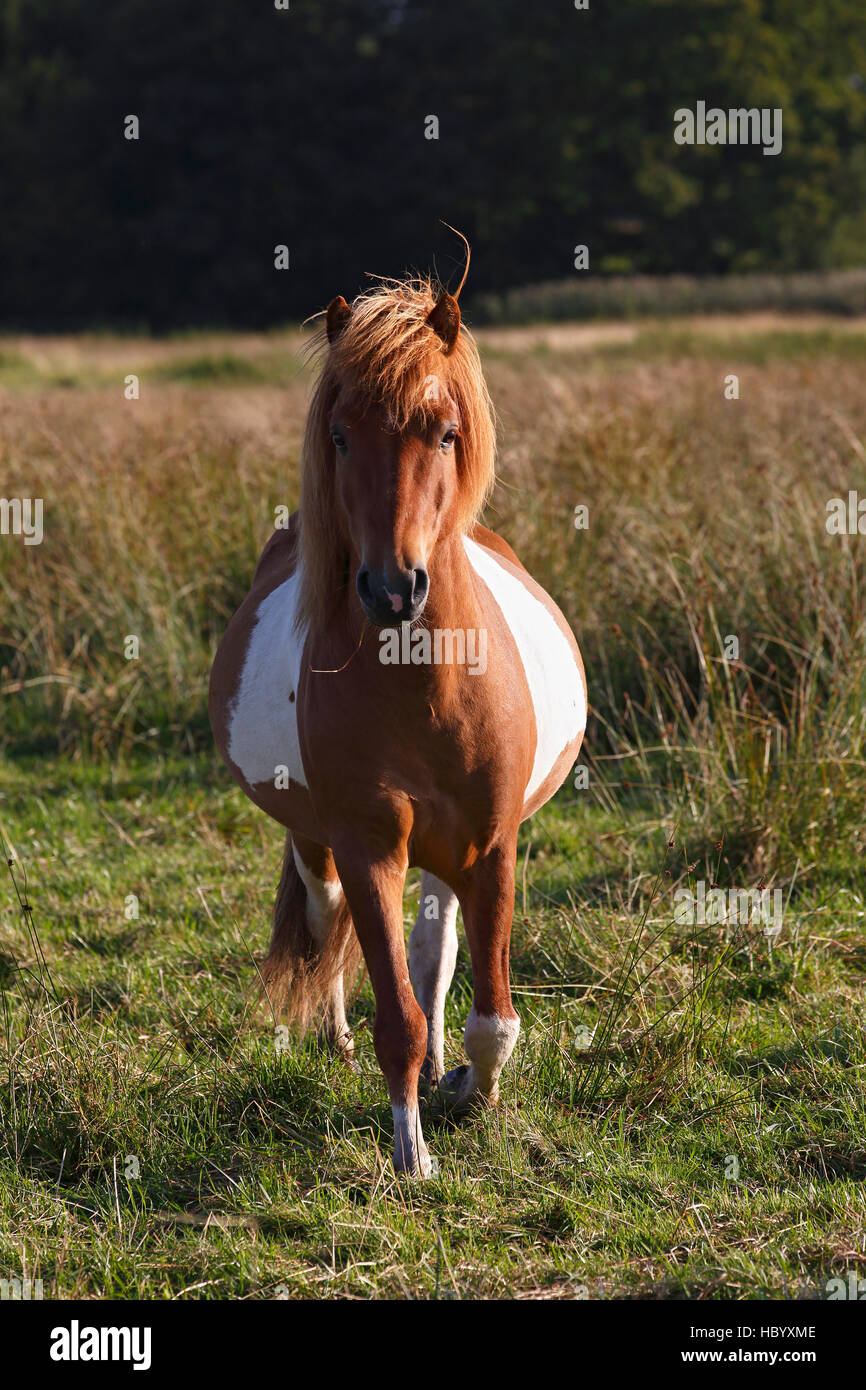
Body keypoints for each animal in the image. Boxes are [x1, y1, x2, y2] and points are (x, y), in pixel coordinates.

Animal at [209, 271, 587, 1177]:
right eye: (340, 437)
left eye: (445, 433)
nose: (392, 590)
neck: (428, 687)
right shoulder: (368, 844)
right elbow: (397, 1017)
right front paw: (412, 1154)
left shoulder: (491, 848)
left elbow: (489, 1013)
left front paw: (472, 1091)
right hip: (320, 845)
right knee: (328, 925)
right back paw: (338, 1040)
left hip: (448, 855)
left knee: (433, 955)